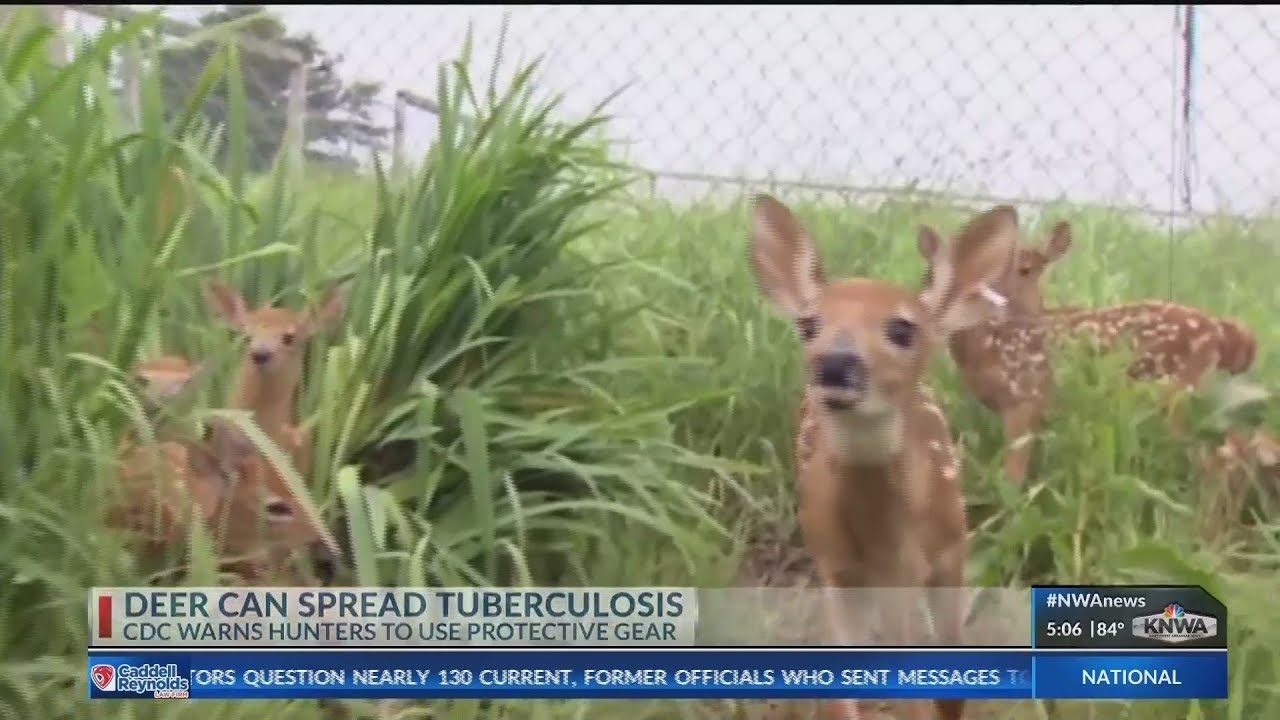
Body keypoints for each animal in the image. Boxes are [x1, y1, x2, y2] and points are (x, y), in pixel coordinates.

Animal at [916, 220, 1258, 486]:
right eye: (929, 274)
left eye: (1026, 269)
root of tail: (1219, 329)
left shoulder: (1025, 402)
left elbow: (1013, 478)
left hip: (1176, 393)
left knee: (1217, 461)